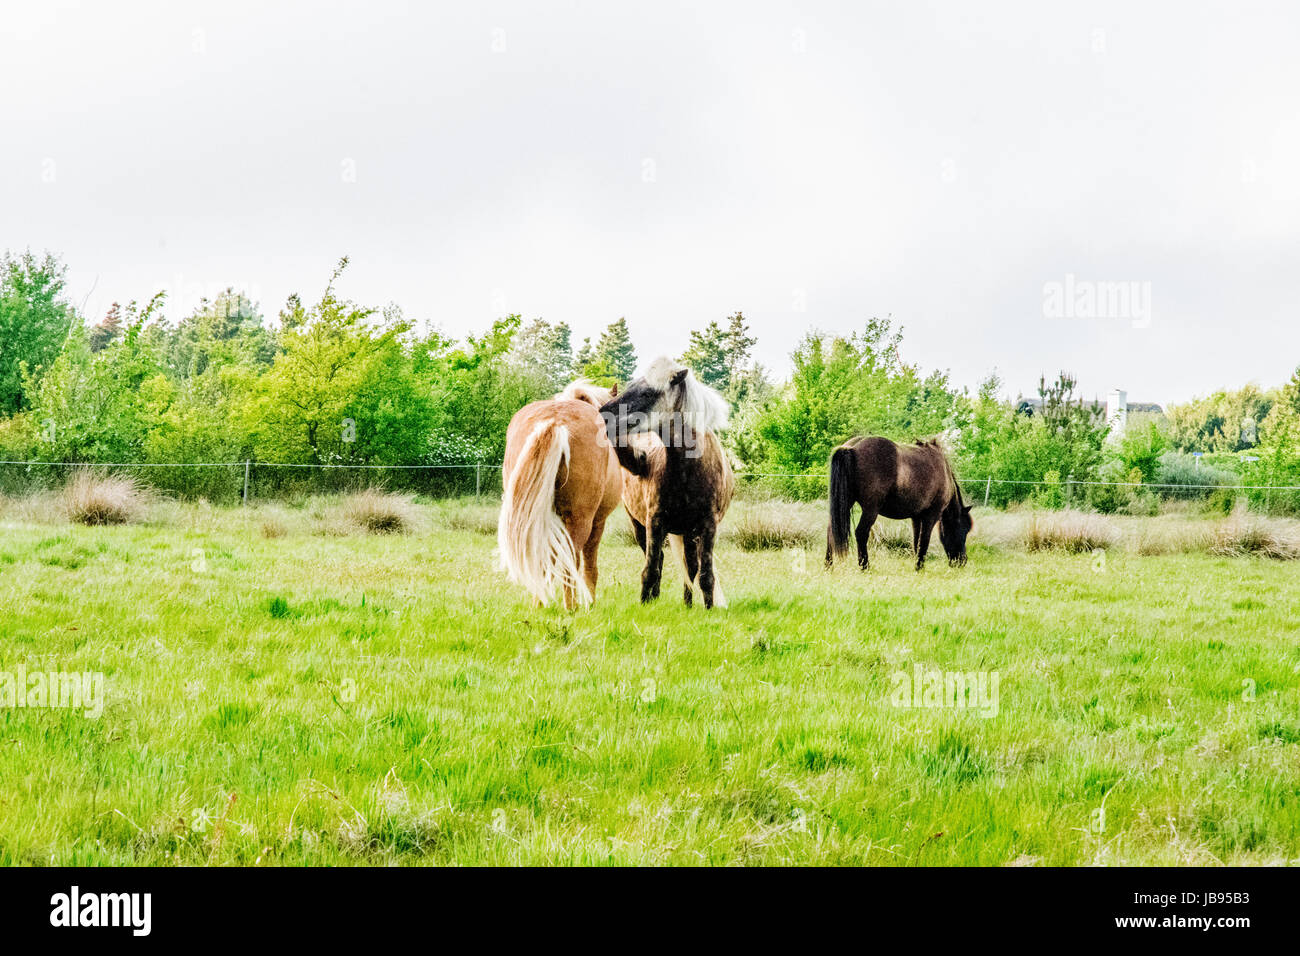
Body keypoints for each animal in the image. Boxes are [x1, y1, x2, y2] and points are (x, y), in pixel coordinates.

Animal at [497, 380, 623, 608]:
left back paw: (539, 603)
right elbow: (589, 565)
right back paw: (571, 607)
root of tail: (555, 421)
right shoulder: (598, 522)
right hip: (580, 519)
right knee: (571, 559)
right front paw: (590, 603)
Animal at [600, 357, 733, 608]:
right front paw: (645, 603)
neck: (688, 470)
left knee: (690, 568)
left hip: (689, 534)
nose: (602, 414)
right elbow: (650, 570)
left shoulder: (708, 526)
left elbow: (705, 576)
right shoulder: (655, 522)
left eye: (648, 393)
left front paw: (708, 609)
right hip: (640, 527)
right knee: (661, 562)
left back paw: (688, 604)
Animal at [826, 436, 973, 571]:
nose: (962, 561)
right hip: (870, 510)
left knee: (831, 531)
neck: (944, 471)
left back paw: (828, 565)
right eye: (964, 530)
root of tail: (852, 447)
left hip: (845, 504)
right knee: (861, 533)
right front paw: (919, 567)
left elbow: (916, 542)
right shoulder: (931, 516)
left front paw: (917, 565)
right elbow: (924, 541)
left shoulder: (916, 518)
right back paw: (865, 567)